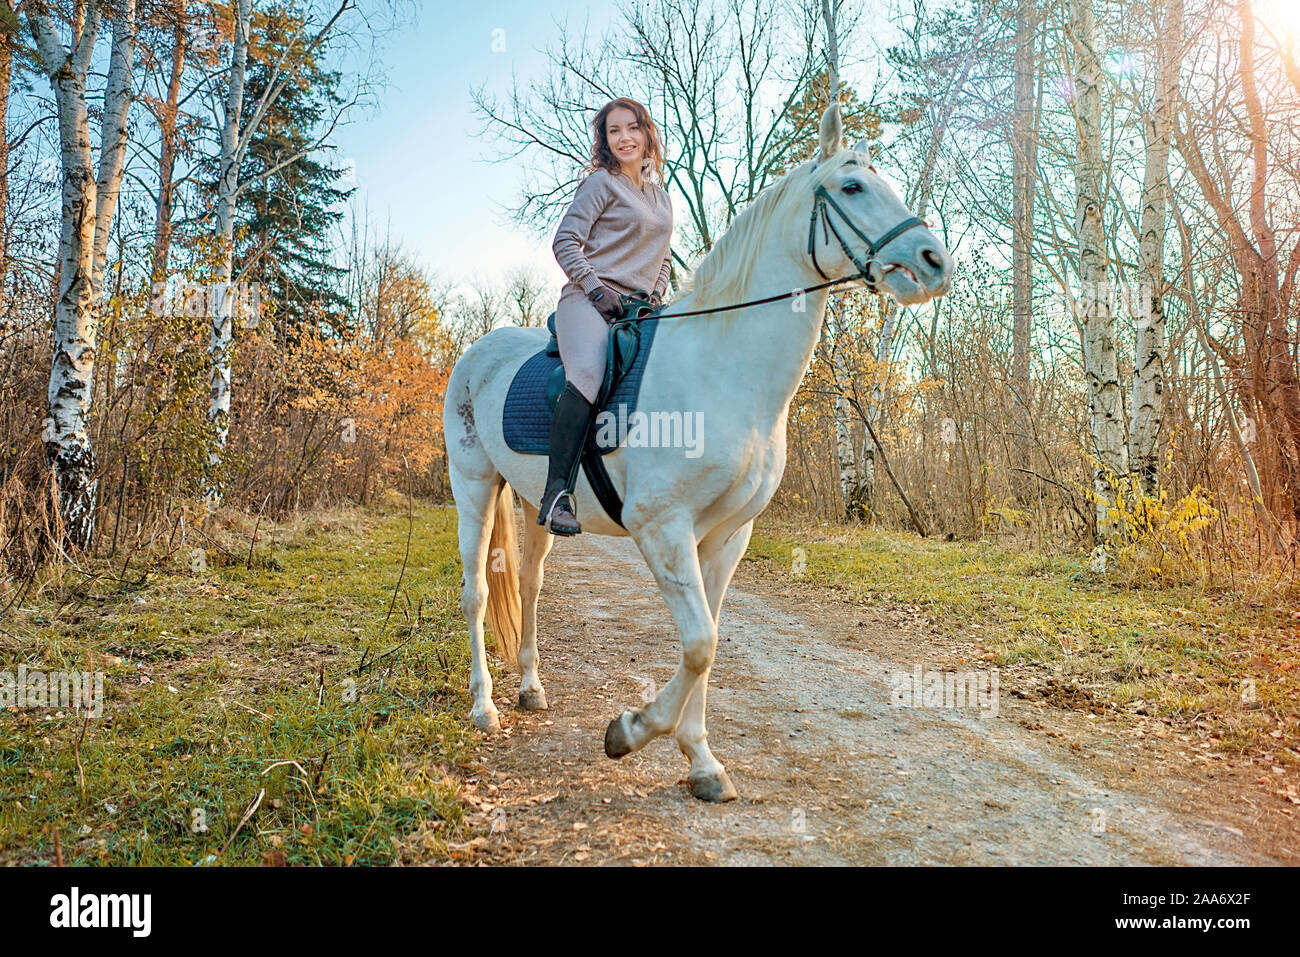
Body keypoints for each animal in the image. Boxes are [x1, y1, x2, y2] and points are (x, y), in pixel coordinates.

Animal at [443, 104, 954, 802]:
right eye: (852, 188)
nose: (933, 262)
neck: (722, 367)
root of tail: (479, 350)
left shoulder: (726, 536)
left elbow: (709, 644)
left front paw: (702, 762)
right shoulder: (662, 528)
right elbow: (700, 643)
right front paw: (630, 731)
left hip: (533, 504)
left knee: (529, 582)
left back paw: (530, 688)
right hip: (473, 485)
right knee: (473, 593)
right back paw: (484, 706)